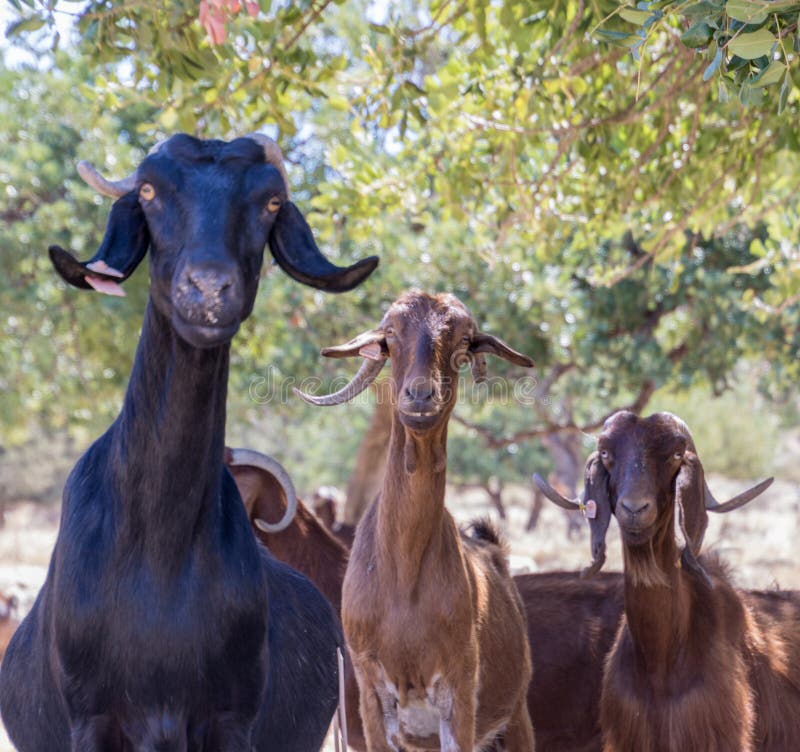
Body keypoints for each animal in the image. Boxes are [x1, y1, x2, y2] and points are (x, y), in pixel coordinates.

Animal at [0, 133, 378, 752]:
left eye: (271, 203)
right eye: (151, 193)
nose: (207, 291)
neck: (161, 552)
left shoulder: (230, 719)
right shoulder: (93, 718)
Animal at [295, 290, 535, 751]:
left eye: (463, 343)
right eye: (390, 336)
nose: (421, 396)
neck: (404, 579)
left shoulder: (458, 691)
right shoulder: (371, 694)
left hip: (515, 716)